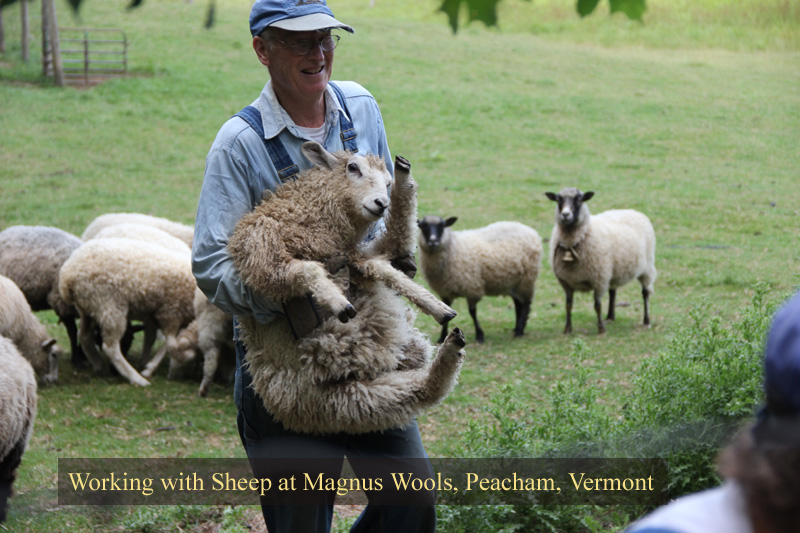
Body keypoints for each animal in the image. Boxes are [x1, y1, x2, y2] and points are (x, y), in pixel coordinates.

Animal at [58, 238, 197, 386]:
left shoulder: (161, 315)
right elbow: (170, 343)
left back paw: (99, 366)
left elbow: (158, 340)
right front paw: (180, 357)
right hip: (110, 305)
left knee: (83, 335)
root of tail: (67, 276)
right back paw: (136, 378)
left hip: (87, 308)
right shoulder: (171, 311)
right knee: (110, 347)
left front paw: (148, 365)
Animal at [228, 141, 465, 434]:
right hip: (345, 400)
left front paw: (434, 304)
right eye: (353, 167)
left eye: (386, 183)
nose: (381, 203)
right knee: (420, 392)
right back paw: (449, 350)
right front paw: (337, 301)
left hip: (381, 376)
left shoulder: (355, 254)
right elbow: (310, 270)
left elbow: (390, 256)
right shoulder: (262, 256)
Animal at [417, 216, 543, 344]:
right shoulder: (445, 291)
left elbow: (472, 312)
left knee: (526, 304)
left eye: (442, 226)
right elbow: (444, 312)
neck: (453, 247)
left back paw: (520, 331)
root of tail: (529, 230)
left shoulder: (472, 288)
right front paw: (442, 337)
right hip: (513, 282)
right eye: (423, 226)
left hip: (526, 280)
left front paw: (480, 335)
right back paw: (516, 328)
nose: (433, 241)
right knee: (518, 303)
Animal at [545, 187, 656, 334]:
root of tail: (634, 211)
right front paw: (567, 328)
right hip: (614, 271)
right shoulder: (566, 282)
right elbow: (568, 305)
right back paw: (610, 316)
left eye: (579, 199)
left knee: (646, 293)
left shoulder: (599, 279)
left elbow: (597, 305)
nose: (565, 214)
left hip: (647, 267)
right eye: (558, 199)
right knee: (613, 291)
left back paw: (646, 321)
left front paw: (601, 329)